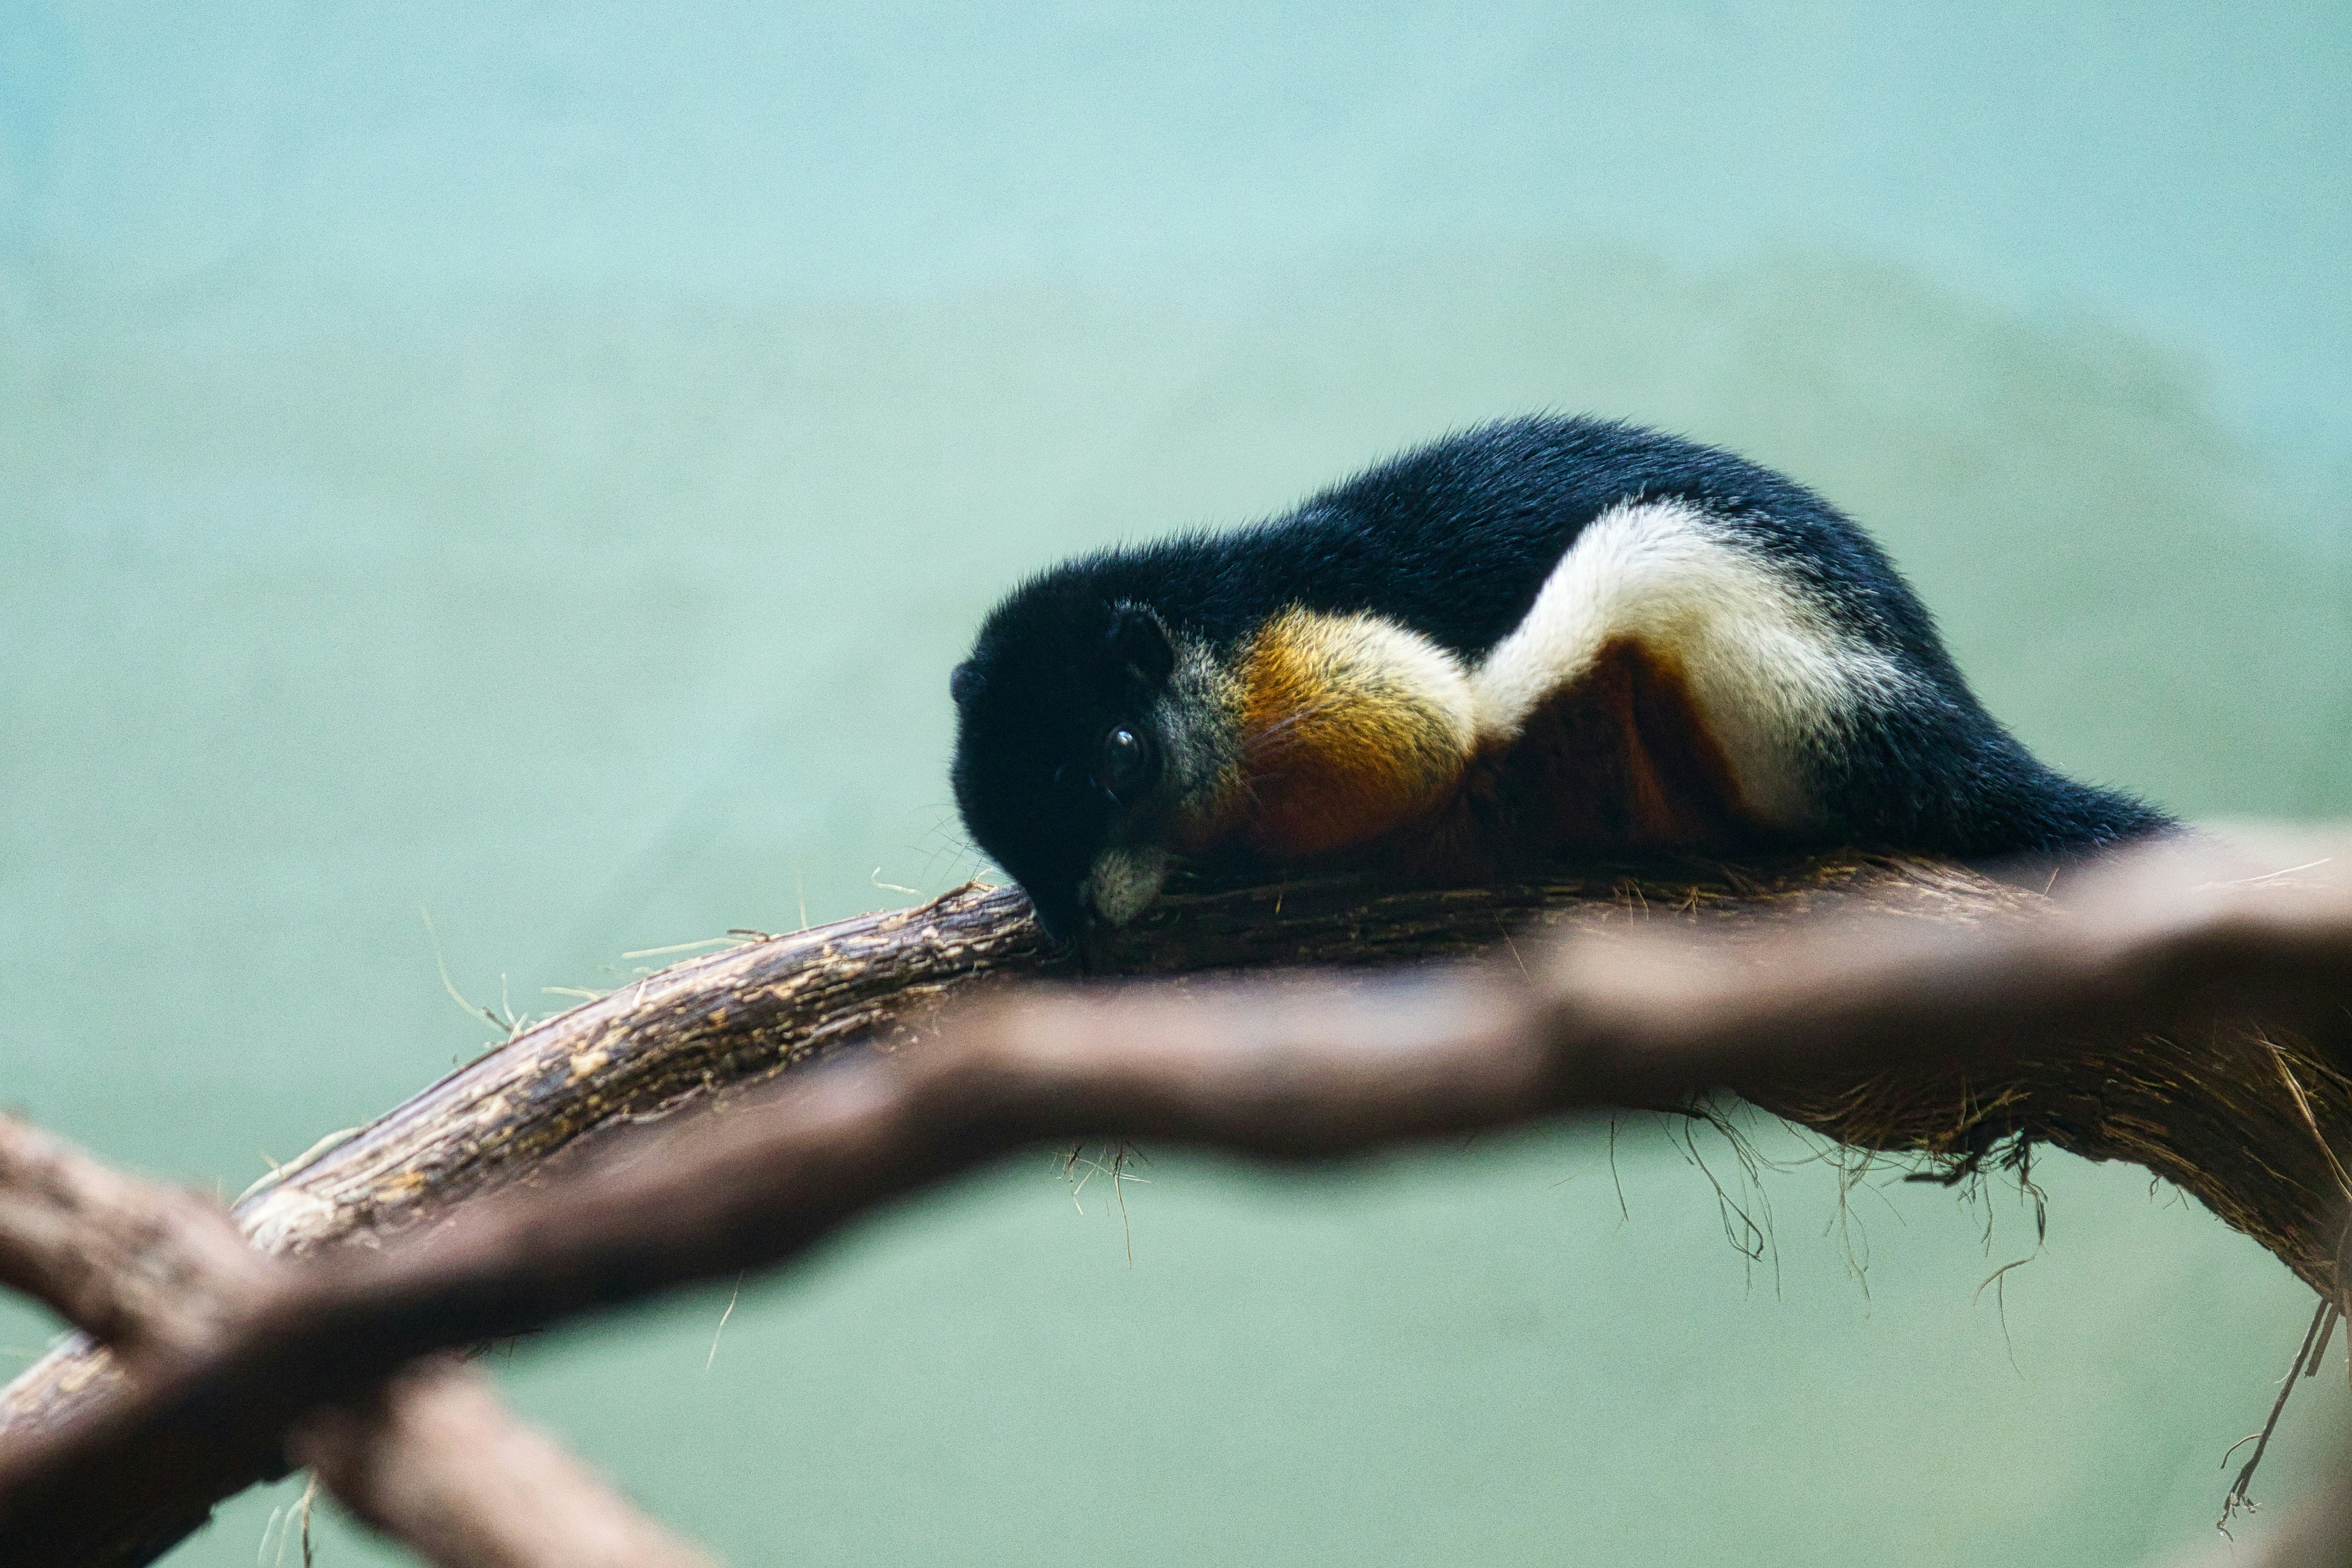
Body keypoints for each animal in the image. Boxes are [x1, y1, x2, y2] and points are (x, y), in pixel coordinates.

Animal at [949, 416, 2174, 941]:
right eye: (994, 823)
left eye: (1120, 757)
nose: (1077, 915)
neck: (1224, 641)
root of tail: (1948, 724)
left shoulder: (1334, 676)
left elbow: (1428, 739)